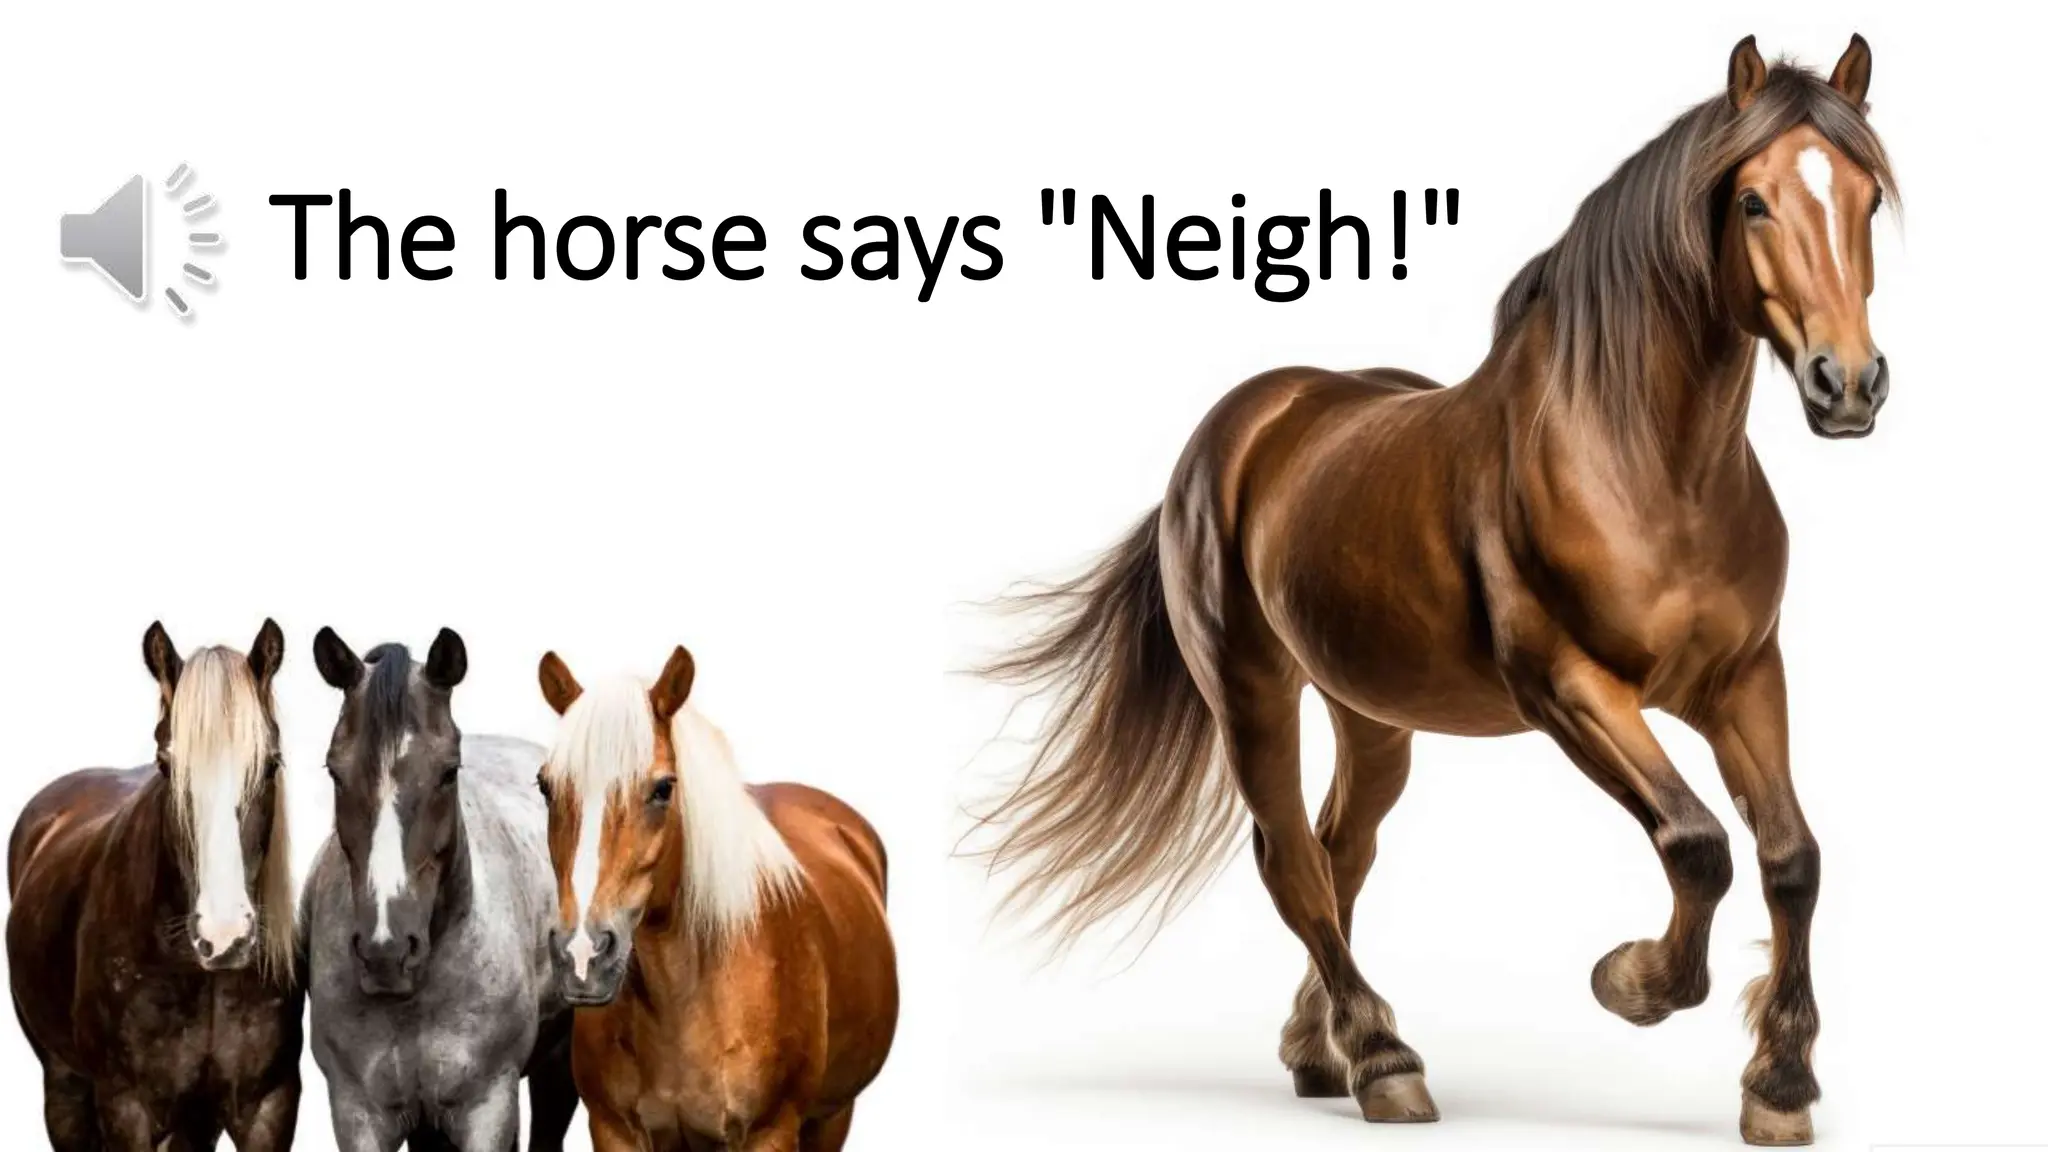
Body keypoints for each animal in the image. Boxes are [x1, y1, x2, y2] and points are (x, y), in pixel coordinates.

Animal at [7, 621, 304, 1151]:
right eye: (167, 765)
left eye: (271, 764)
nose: (223, 937)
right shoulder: (127, 1108)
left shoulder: (267, 1107)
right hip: (65, 1090)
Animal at [532, 645, 897, 1152]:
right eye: (545, 786)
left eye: (663, 788)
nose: (582, 955)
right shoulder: (613, 1130)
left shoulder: (770, 1132)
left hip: (832, 1118)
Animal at [971, 36, 1894, 1147]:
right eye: (1752, 200)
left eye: (1867, 197)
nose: (1848, 384)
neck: (1648, 466)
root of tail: (1235, 431)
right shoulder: (1570, 688)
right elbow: (1697, 843)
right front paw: (1629, 981)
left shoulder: (1743, 680)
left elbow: (1790, 858)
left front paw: (1780, 1084)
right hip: (1250, 691)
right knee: (1291, 859)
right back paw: (1383, 1060)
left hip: (1371, 715)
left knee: (1340, 852)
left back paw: (1318, 1047)